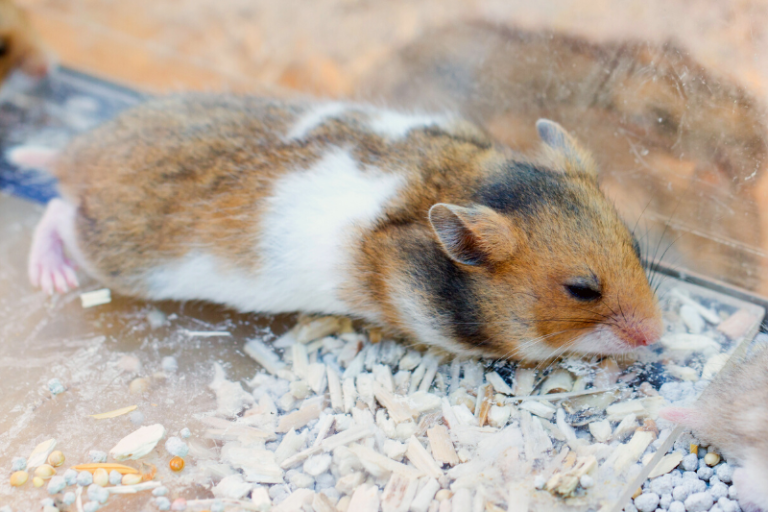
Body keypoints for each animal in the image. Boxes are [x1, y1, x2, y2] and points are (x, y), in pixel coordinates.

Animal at [24, 95, 662, 360]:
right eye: (582, 290)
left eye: (635, 244)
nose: (660, 337)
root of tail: (78, 153)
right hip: (113, 253)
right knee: (55, 209)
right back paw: (50, 276)